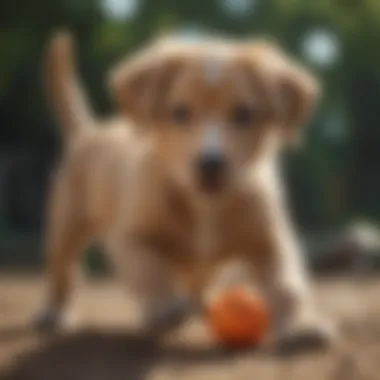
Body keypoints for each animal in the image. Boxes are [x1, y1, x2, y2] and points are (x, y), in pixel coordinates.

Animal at [36, 32, 336, 350]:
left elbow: (287, 284)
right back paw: (53, 313)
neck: (205, 206)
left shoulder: (269, 241)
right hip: (65, 227)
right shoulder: (131, 238)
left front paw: (302, 326)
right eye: (179, 113)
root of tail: (89, 131)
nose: (211, 163)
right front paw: (164, 308)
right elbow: (150, 269)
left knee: (198, 283)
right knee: (62, 272)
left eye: (243, 114)